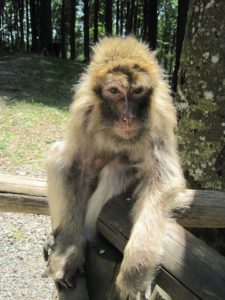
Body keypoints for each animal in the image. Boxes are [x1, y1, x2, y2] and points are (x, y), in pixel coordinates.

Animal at [43, 36, 185, 298]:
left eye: (137, 91)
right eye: (114, 91)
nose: (128, 117)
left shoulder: (159, 116)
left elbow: (162, 180)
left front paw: (134, 272)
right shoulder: (84, 111)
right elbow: (75, 168)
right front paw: (68, 255)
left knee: (118, 167)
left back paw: (92, 238)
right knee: (59, 157)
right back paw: (58, 235)